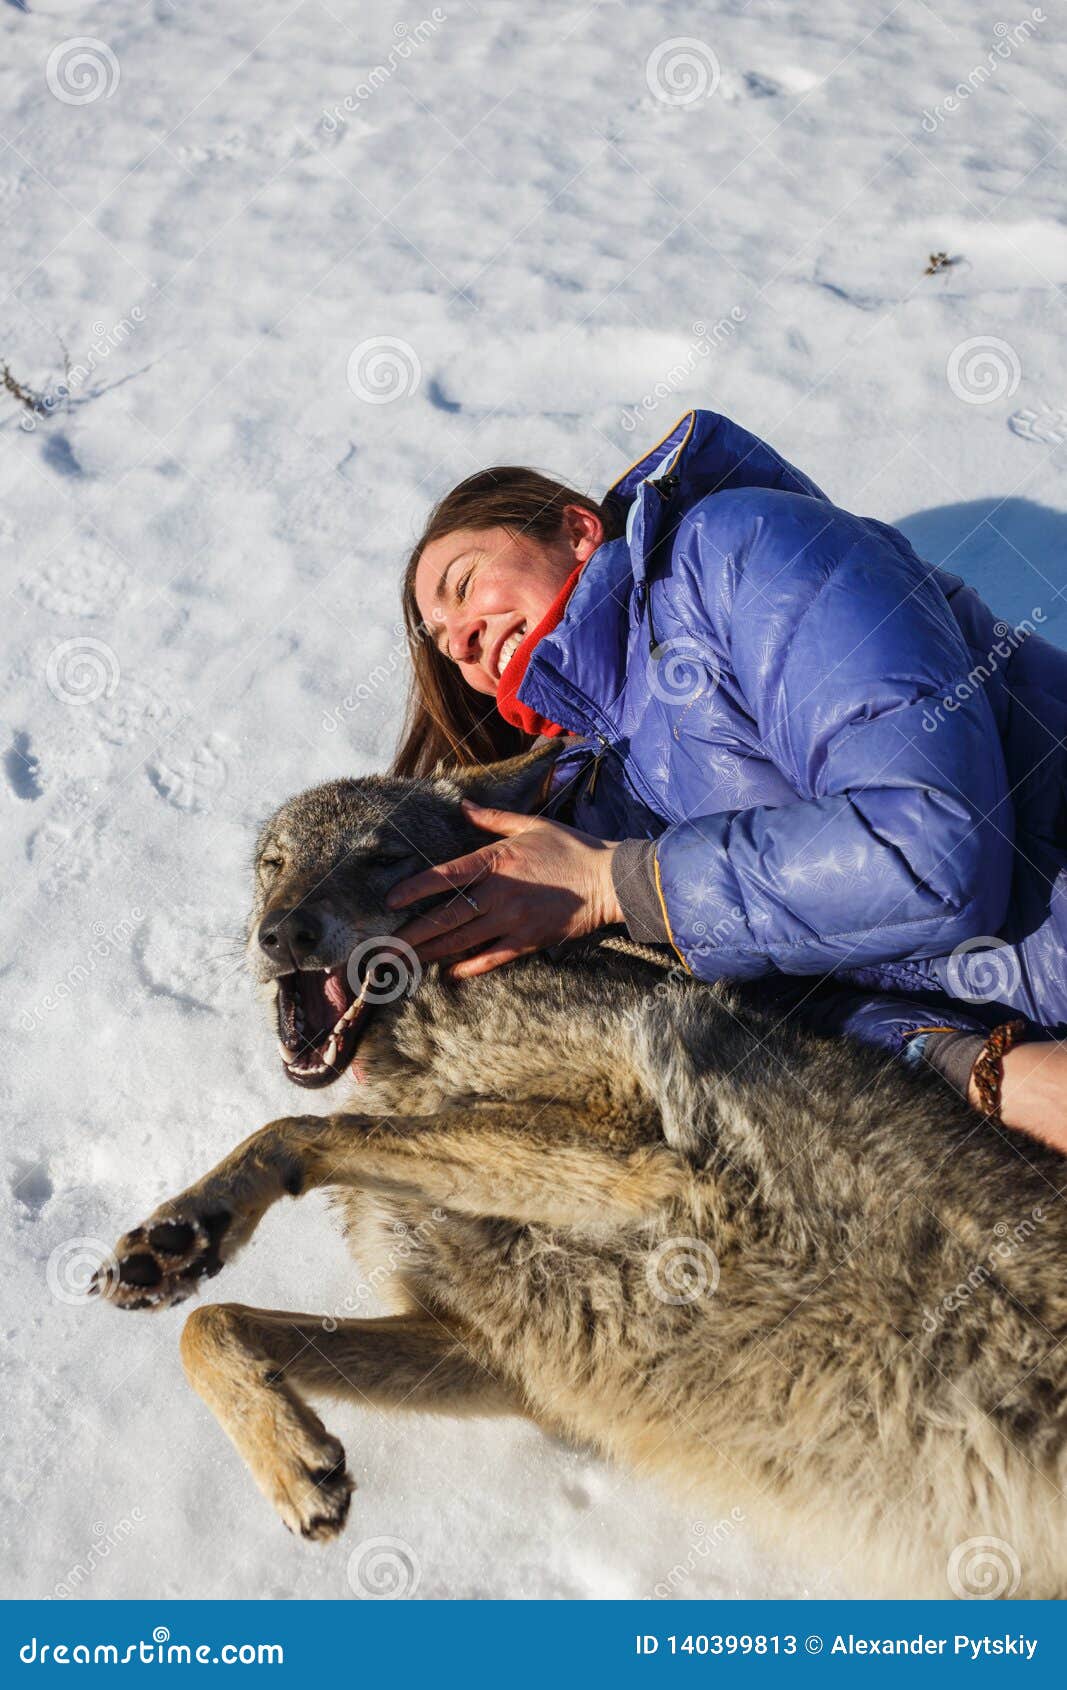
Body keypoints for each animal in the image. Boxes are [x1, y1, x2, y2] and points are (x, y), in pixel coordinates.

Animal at [98, 747, 1067, 1599]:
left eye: (382, 857)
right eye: (276, 863)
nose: (283, 932)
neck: (429, 1030)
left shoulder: (635, 1151)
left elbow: (302, 1125)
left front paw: (194, 1220)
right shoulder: (494, 1353)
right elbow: (213, 1324)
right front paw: (282, 1443)